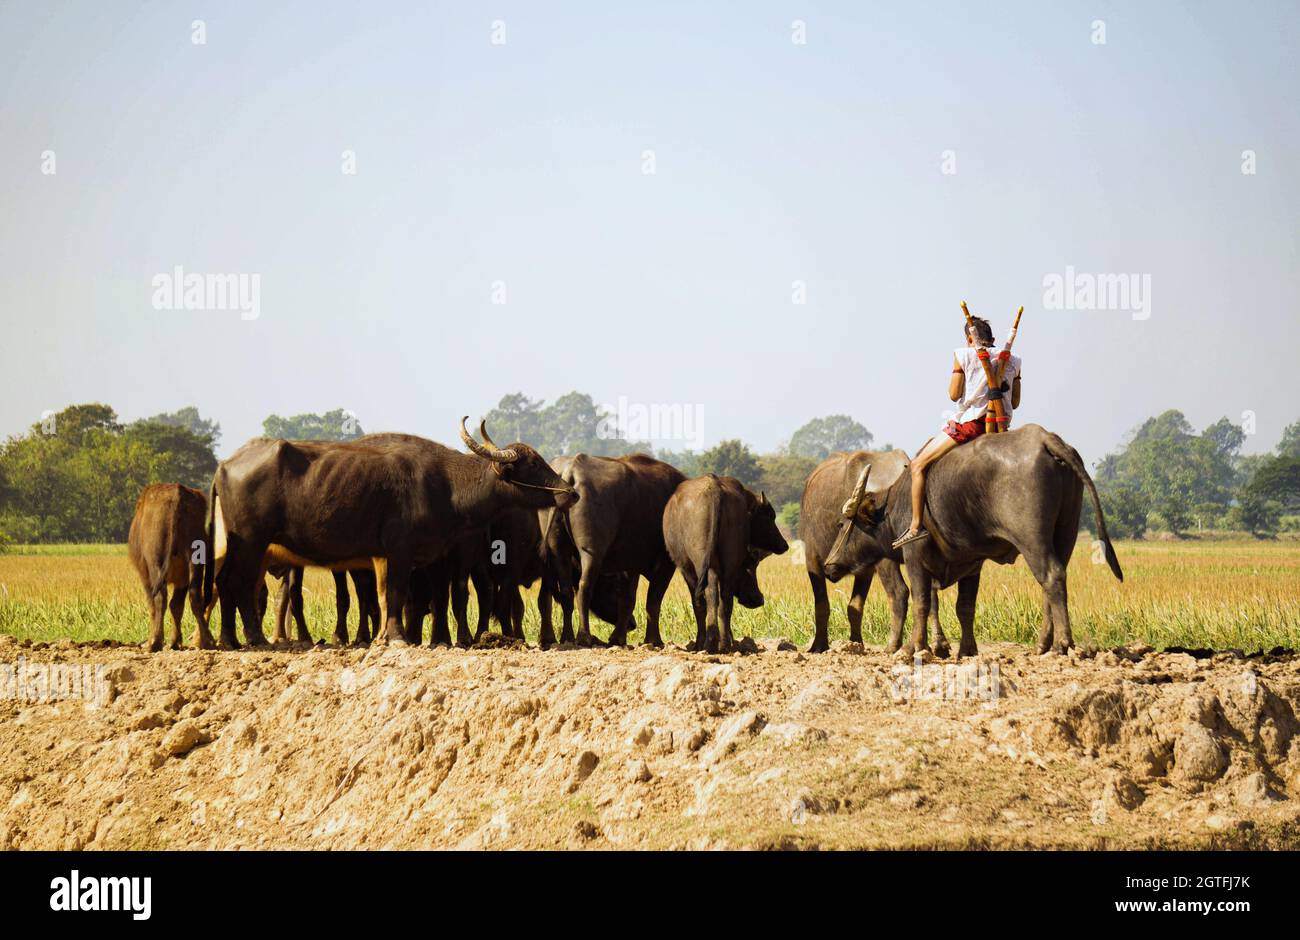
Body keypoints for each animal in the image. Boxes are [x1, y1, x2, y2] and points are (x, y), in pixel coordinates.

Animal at [823, 425, 1122, 656]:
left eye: (842, 525)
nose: (829, 565)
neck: (897, 504)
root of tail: (1045, 438)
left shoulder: (914, 556)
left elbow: (921, 601)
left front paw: (913, 648)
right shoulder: (970, 564)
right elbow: (963, 607)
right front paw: (966, 649)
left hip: (1032, 539)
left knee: (1051, 576)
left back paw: (1062, 643)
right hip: (1065, 533)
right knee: (1053, 581)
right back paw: (1043, 644)